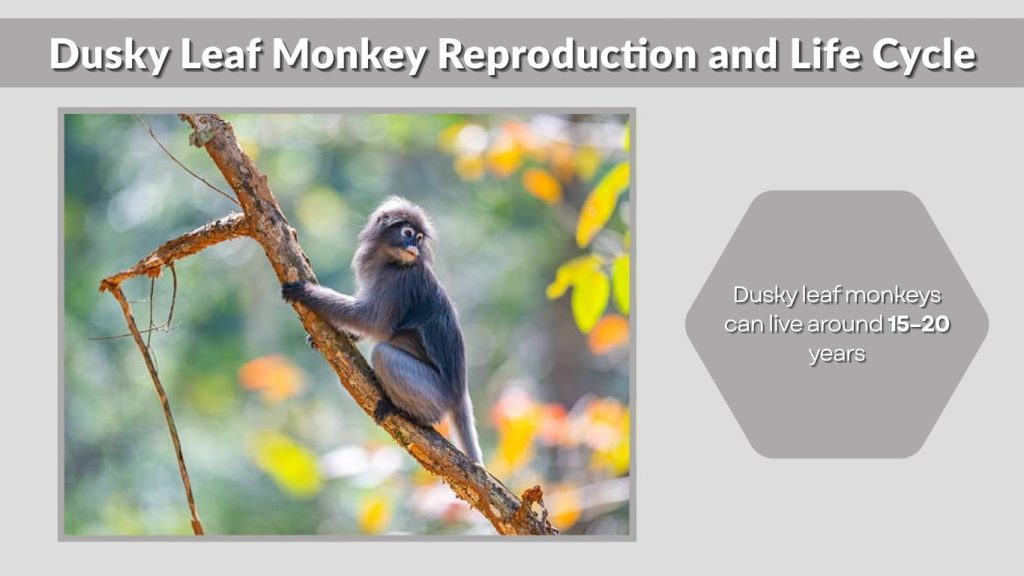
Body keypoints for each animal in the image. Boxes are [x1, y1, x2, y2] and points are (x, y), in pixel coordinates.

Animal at [281, 196, 483, 464]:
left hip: (436, 393)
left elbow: (375, 324)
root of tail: (460, 394)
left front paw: (308, 293)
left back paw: (413, 415)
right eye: (408, 233)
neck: (388, 260)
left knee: (383, 354)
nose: (414, 247)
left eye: (419, 238)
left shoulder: (399, 281)